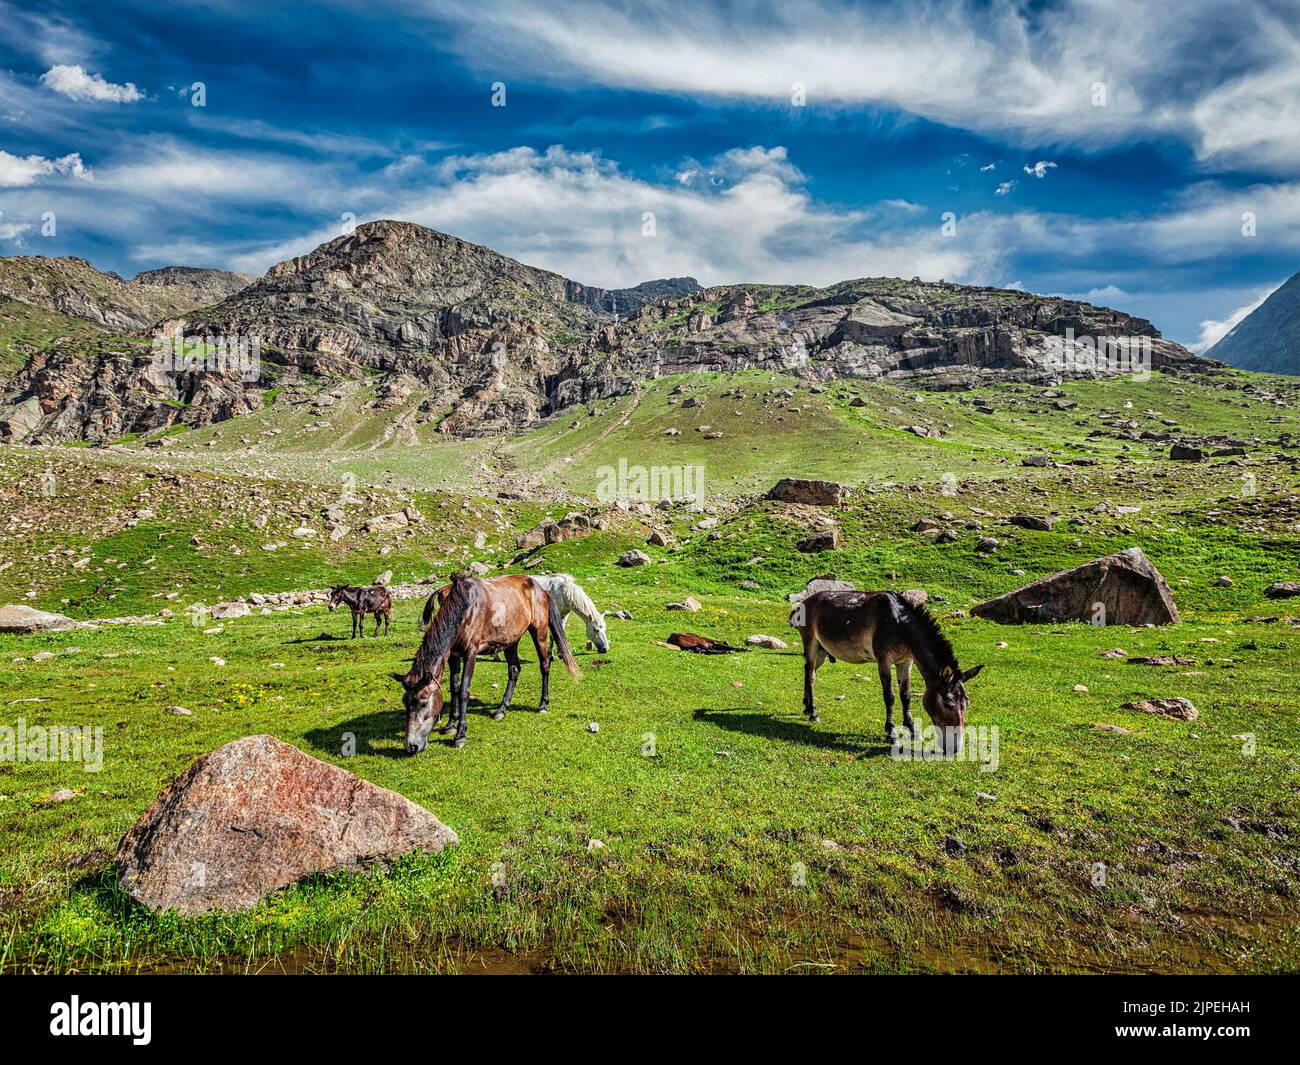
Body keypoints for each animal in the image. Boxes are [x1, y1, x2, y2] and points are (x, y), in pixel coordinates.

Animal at [395, 574, 579, 752]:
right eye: (405, 702)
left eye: (423, 703)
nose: (411, 746)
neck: (464, 609)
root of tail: (541, 590)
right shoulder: (453, 655)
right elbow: (454, 688)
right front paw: (450, 725)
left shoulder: (470, 653)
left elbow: (463, 691)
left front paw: (460, 735)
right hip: (511, 640)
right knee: (514, 670)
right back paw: (501, 709)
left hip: (539, 631)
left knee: (544, 665)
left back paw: (542, 705)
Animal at [424, 573, 610, 654]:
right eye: (596, 630)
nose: (605, 649)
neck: (564, 590)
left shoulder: (563, 614)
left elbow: (558, 633)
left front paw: (556, 654)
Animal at [792, 590, 984, 754]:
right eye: (948, 704)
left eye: (966, 704)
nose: (956, 748)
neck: (898, 623)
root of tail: (804, 602)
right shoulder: (884, 661)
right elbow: (889, 696)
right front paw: (891, 732)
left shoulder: (906, 662)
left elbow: (905, 696)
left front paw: (911, 729)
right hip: (811, 644)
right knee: (810, 676)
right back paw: (813, 713)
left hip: (822, 652)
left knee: (809, 673)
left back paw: (806, 706)